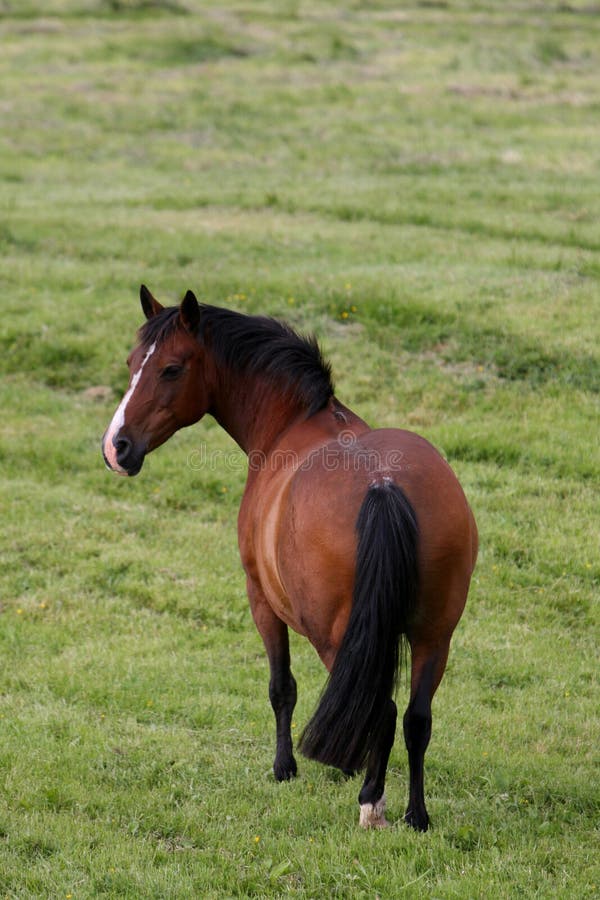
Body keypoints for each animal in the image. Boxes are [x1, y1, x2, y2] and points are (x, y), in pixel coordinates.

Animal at [102, 285, 478, 831]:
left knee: (384, 711)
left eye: (171, 369)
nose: (117, 447)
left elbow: (283, 687)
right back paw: (416, 814)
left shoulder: (261, 600)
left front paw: (286, 768)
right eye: (132, 363)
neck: (295, 424)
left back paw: (371, 802)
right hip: (435, 637)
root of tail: (384, 484)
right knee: (415, 719)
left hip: (335, 635)